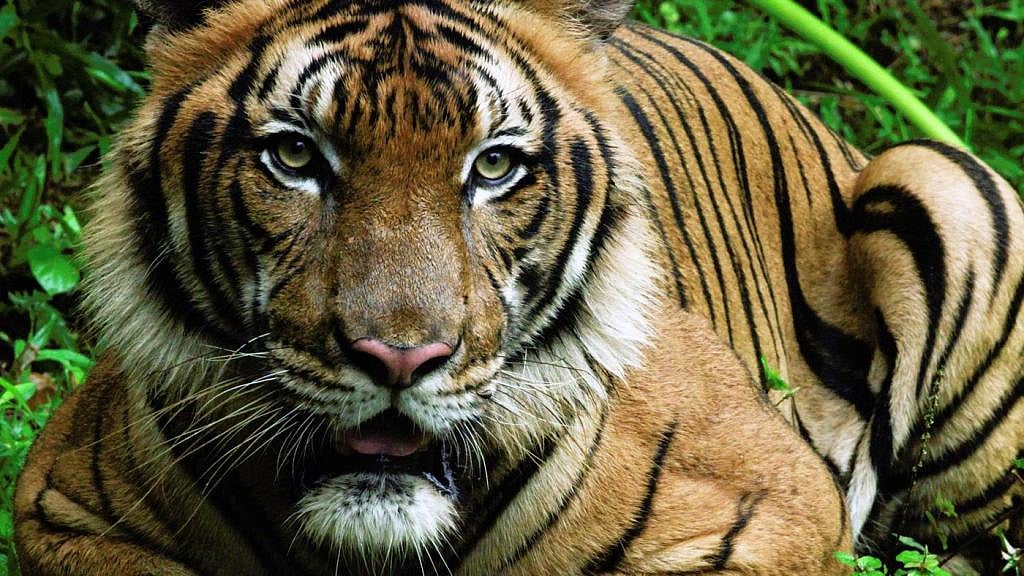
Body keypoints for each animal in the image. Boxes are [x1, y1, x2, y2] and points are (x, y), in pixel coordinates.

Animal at [13, 0, 1024, 573]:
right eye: (295, 158)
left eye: (493, 168)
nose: (399, 358)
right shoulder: (61, 508)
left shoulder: (772, 503)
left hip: (939, 178)